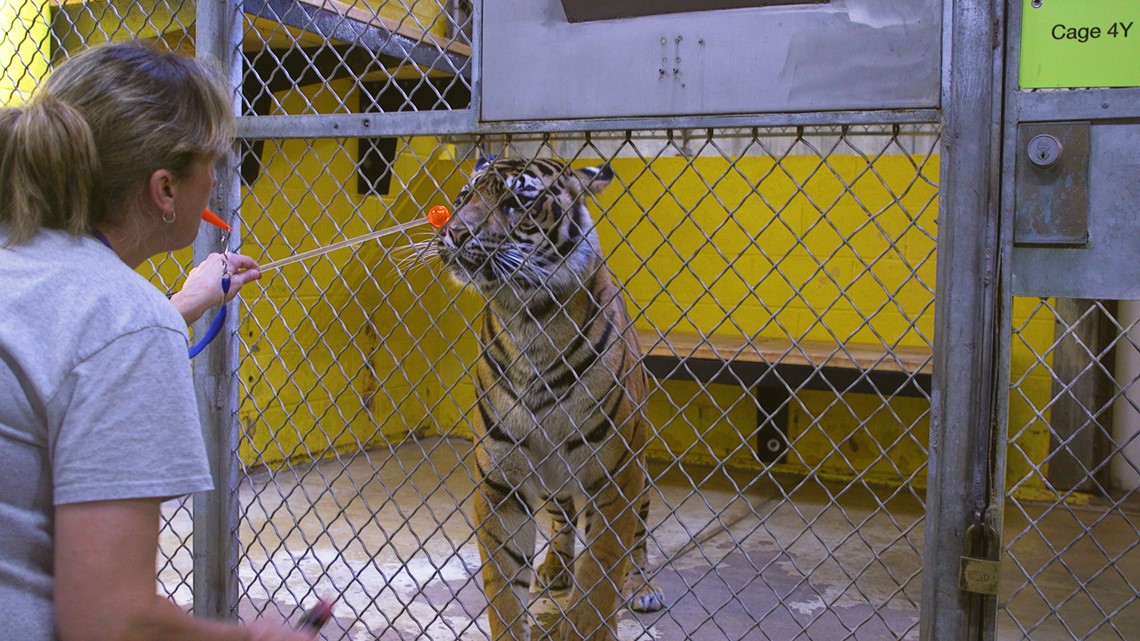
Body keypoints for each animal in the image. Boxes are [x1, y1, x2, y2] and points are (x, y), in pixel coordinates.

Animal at [435, 156, 664, 640]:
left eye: (516, 203)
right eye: (465, 197)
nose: (456, 232)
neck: (529, 320)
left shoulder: (616, 477)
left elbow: (599, 579)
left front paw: (591, 623)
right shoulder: (500, 482)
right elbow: (504, 589)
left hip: (639, 469)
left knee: (638, 538)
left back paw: (642, 586)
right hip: (552, 478)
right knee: (563, 518)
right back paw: (556, 567)